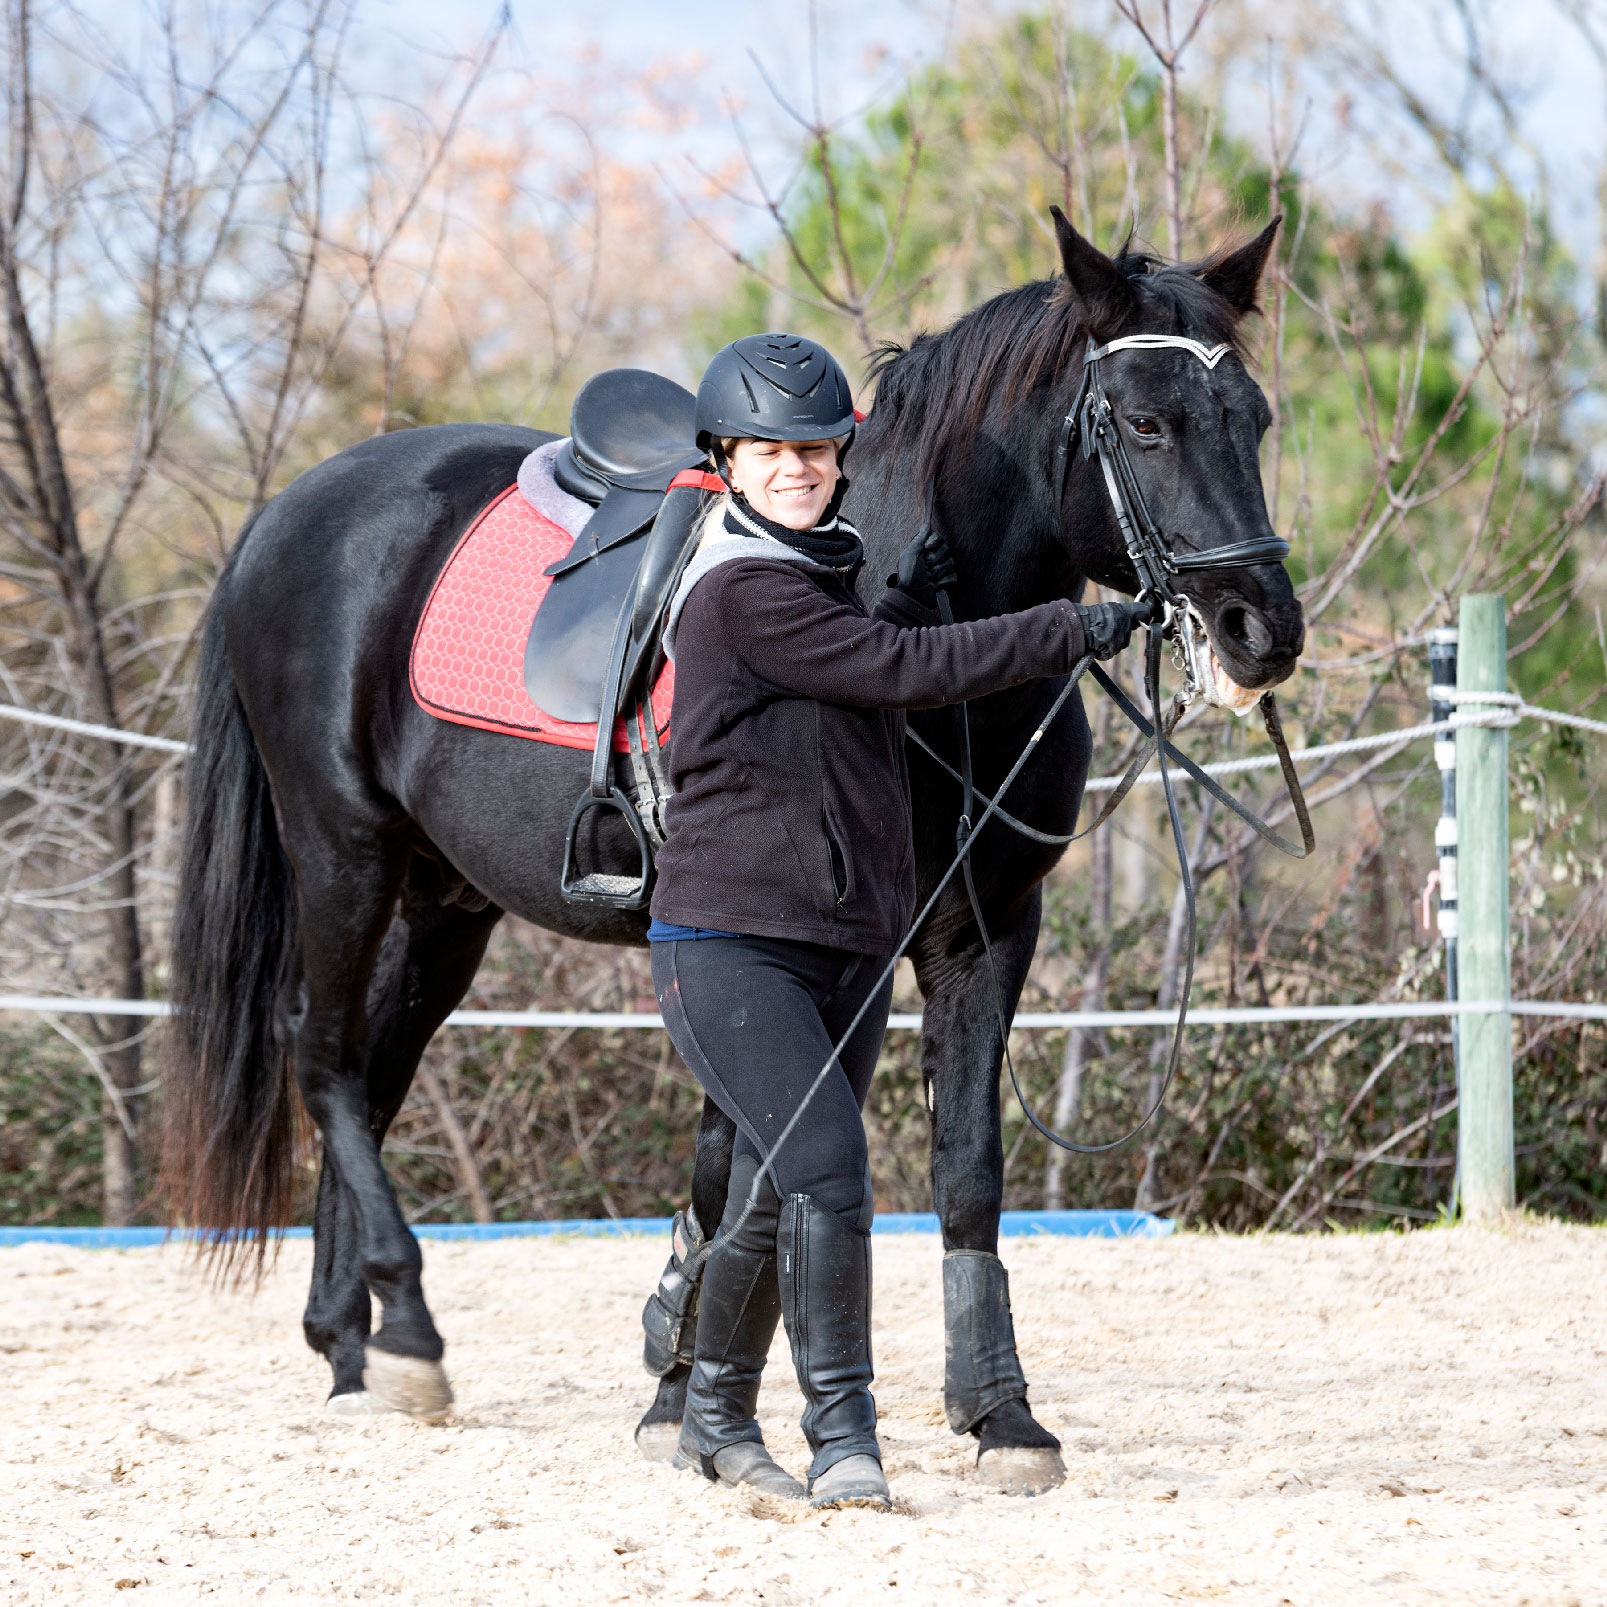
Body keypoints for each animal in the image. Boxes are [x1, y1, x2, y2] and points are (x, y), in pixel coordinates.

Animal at [164, 209, 1304, 1494]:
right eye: (1147, 422)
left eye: (1252, 417)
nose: (1262, 631)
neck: (916, 625)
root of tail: (289, 514)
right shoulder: (813, 953)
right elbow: (751, 1161)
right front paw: (685, 1389)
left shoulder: (981, 934)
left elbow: (956, 1169)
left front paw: (996, 1414)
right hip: (344, 851)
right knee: (321, 1055)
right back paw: (404, 1328)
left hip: (444, 899)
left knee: (369, 1067)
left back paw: (350, 1345)